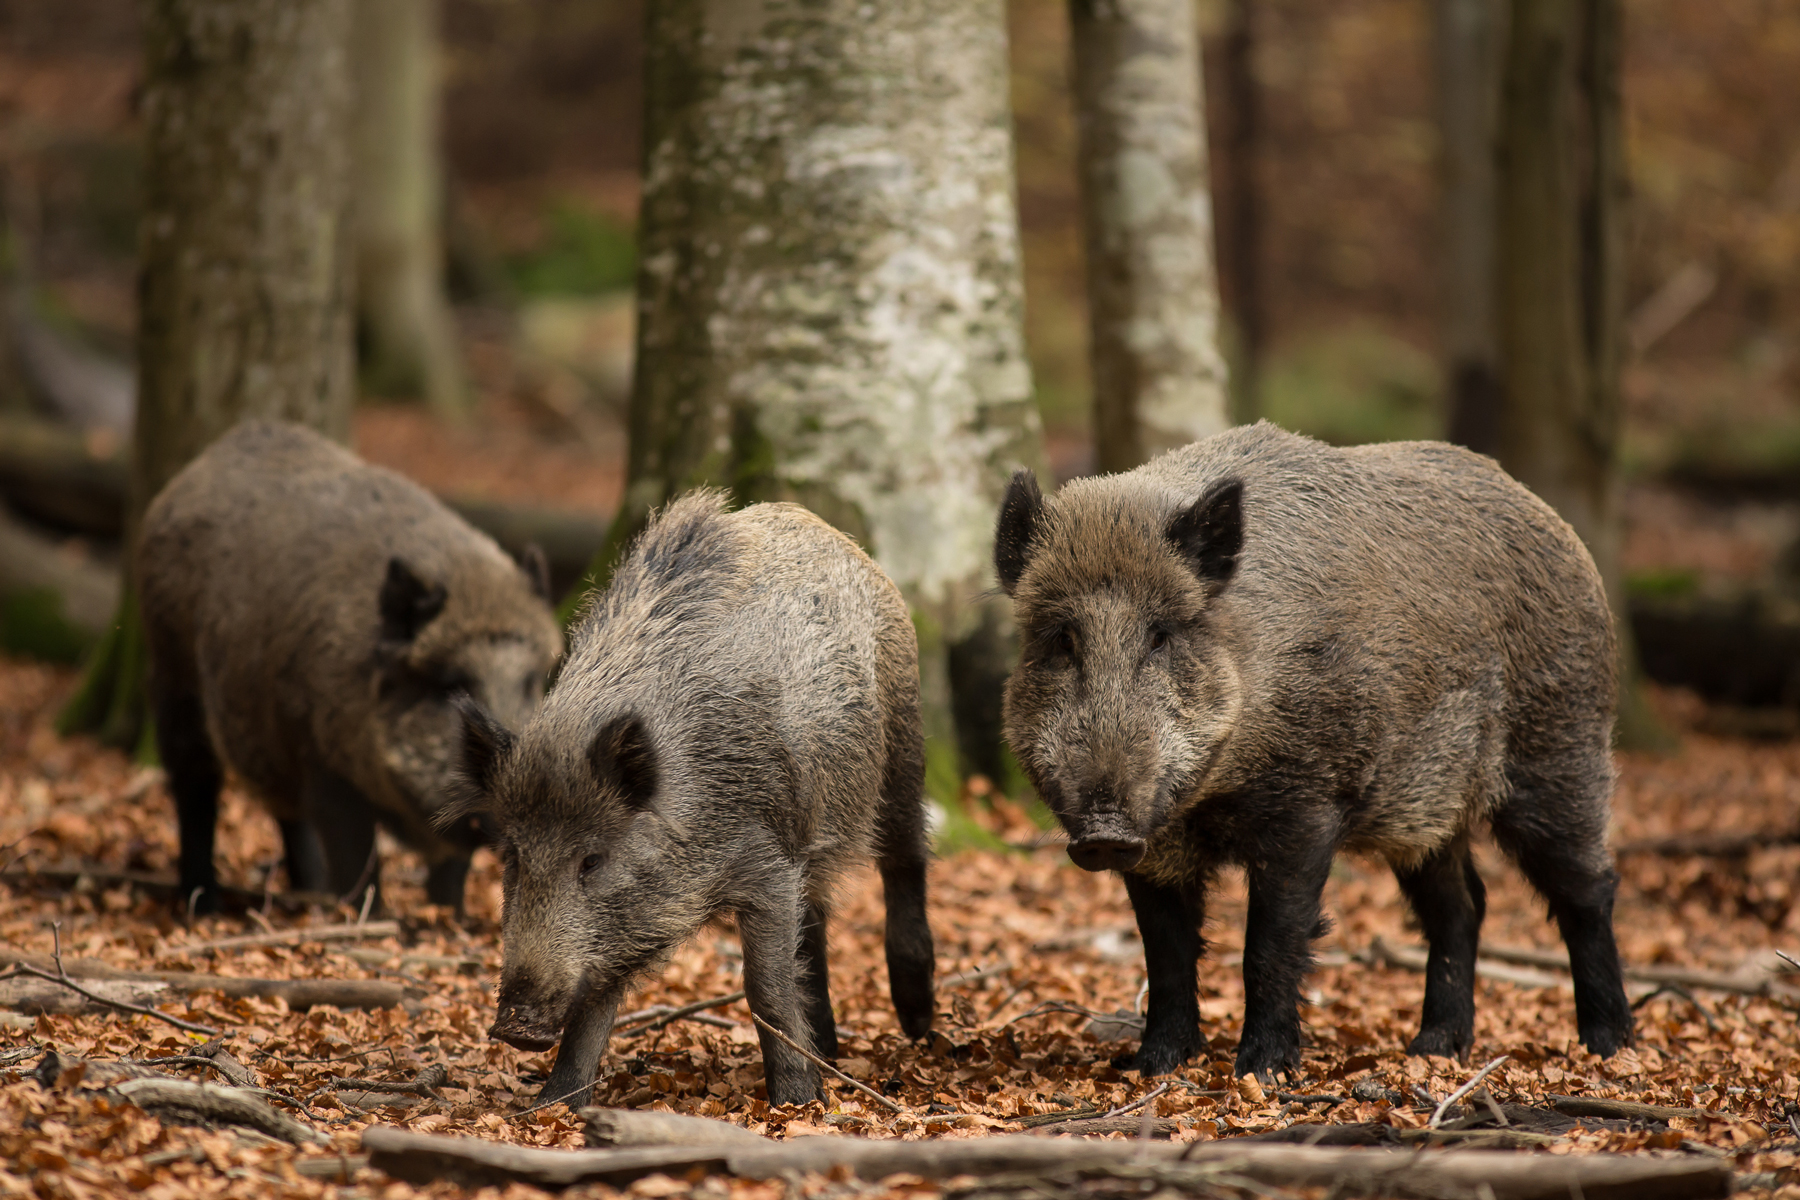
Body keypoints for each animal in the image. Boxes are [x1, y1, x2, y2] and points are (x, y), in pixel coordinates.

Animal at [137, 419, 563, 915]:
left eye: (531, 681)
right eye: (451, 685)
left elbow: (449, 871)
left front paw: (449, 917)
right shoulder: (324, 762)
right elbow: (356, 854)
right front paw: (370, 918)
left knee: (287, 812)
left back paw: (308, 893)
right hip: (173, 669)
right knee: (195, 784)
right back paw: (203, 904)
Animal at [450, 491, 936, 1108]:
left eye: (592, 860)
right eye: (512, 856)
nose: (514, 1027)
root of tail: (827, 530)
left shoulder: (767, 864)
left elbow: (765, 987)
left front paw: (797, 1103)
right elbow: (595, 1002)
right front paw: (553, 1105)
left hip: (903, 740)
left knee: (904, 860)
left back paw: (916, 1024)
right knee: (816, 923)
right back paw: (828, 1052)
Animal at [994, 421, 1633, 1081]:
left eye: (1162, 635)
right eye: (1062, 639)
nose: (1103, 829)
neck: (1212, 797)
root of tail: (1561, 531)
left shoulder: (1308, 802)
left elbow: (1270, 943)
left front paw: (1262, 1072)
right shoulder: (1157, 845)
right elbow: (1165, 953)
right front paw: (1154, 1067)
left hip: (1560, 747)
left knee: (1588, 889)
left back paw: (1607, 1047)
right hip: (1426, 814)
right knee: (1462, 905)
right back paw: (1433, 1048)